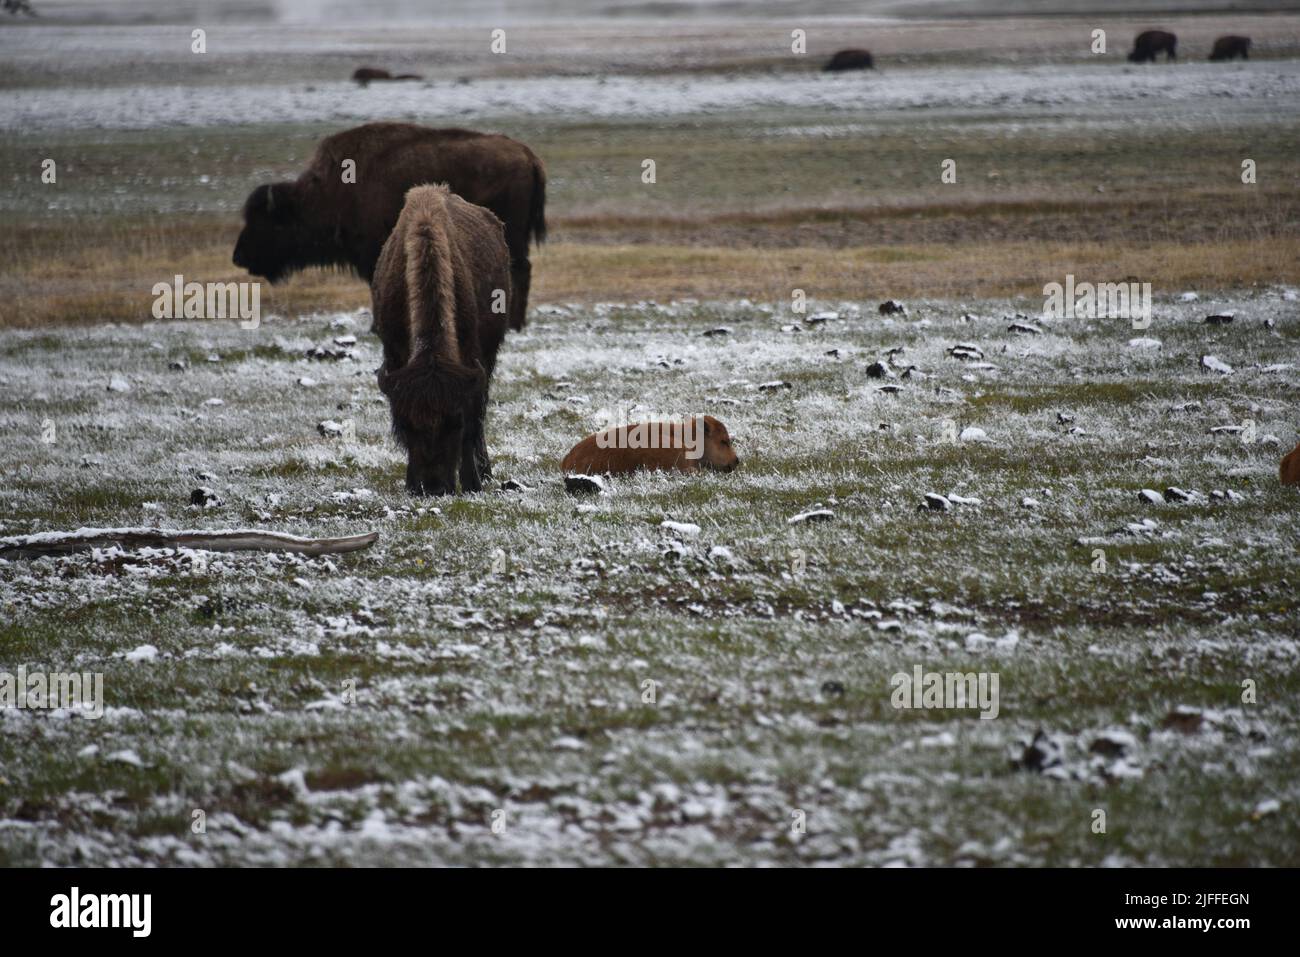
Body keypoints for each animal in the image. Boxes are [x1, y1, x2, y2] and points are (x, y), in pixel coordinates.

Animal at [233, 123, 546, 331]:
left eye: (264, 222)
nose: (238, 257)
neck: (328, 192)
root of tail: (527, 154)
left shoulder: (372, 252)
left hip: (513, 235)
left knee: (521, 269)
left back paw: (514, 324)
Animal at [371, 185, 511, 495]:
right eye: (408, 425)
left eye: (454, 423)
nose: (433, 487)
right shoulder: (394, 355)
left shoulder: (472, 362)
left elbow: (472, 422)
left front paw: (472, 483)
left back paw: (484, 471)